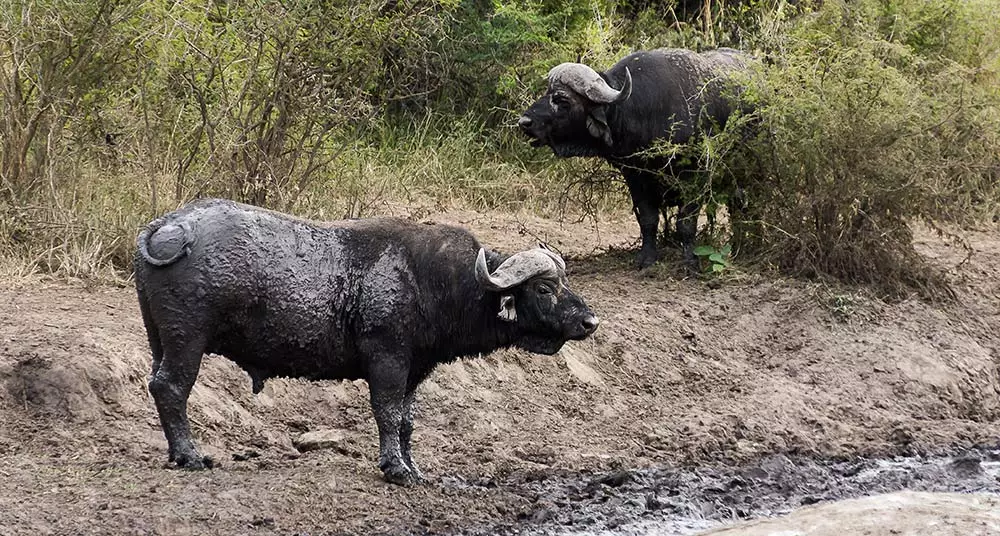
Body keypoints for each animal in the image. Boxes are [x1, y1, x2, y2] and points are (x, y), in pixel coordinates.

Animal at [136, 199, 596, 484]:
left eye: (565, 282)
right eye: (544, 288)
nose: (590, 321)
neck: (432, 279)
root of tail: (169, 225)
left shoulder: (415, 370)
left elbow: (407, 421)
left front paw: (413, 467)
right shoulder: (387, 360)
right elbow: (387, 414)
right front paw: (395, 469)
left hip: (159, 341)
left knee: (159, 387)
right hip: (187, 340)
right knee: (172, 387)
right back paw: (190, 455)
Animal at [520, 48, 748, 270]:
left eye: (562, 99)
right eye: (547, 93)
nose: (524, 122)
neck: (647, 111)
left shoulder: (695, 175)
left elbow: (686, 221)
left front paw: (690, 261)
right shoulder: (635, 175)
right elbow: (647, 218)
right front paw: (647, 258)